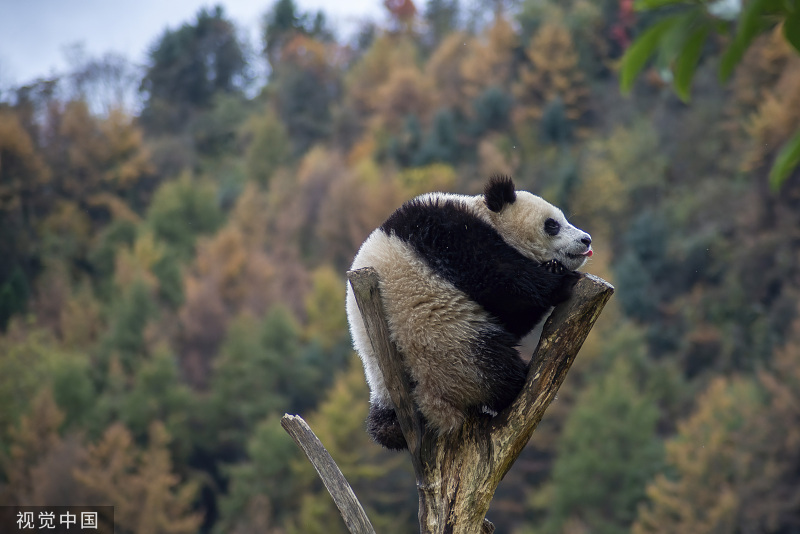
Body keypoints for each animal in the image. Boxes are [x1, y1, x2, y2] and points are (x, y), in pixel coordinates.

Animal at [346, 175, 593, 450]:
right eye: (552, 225)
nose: (586, 240)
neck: (484, 214)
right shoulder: (444, 231)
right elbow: (497, 274)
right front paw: (561, 281)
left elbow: (511, 315)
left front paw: (554, 269)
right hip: (450, 347)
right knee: (491, 364)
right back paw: (517, 381)